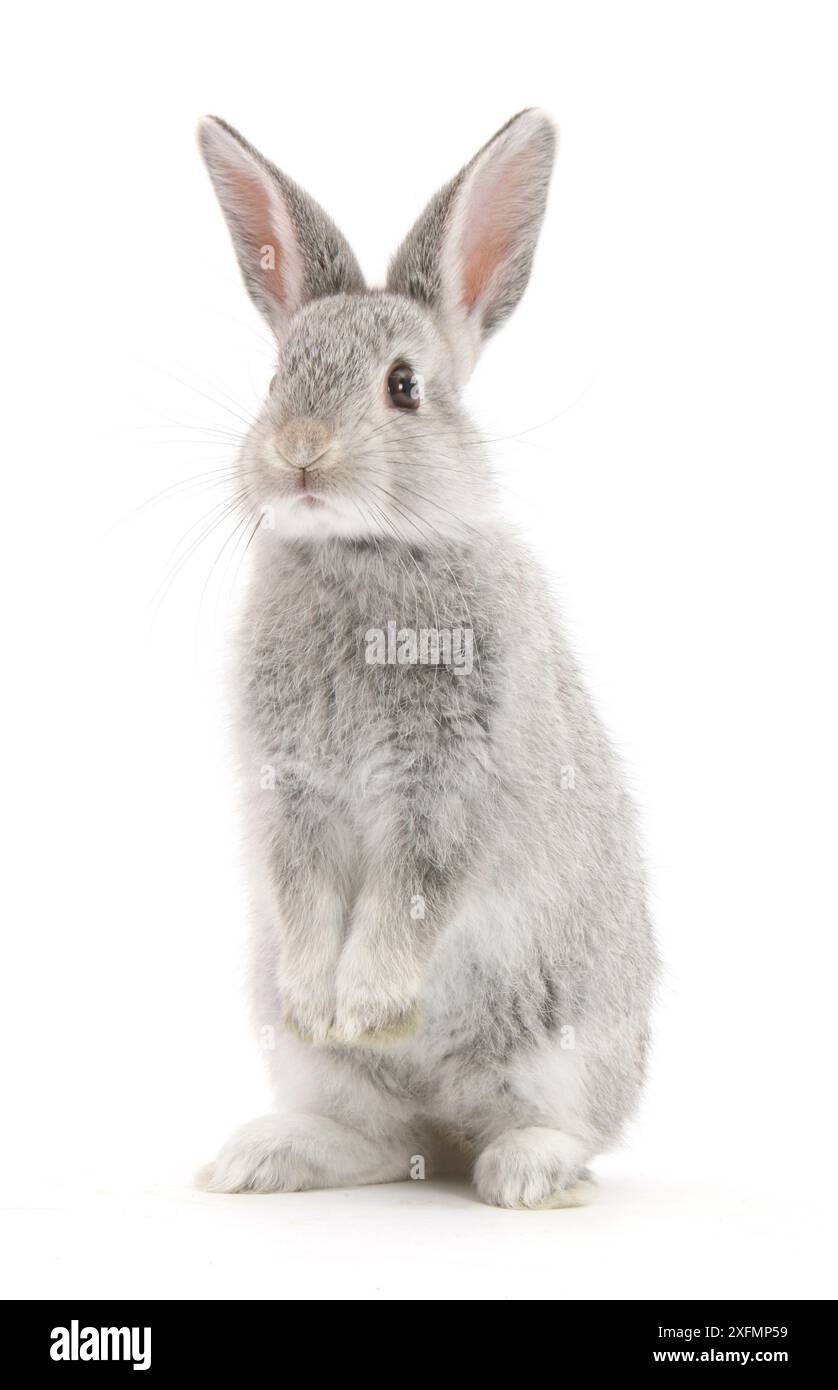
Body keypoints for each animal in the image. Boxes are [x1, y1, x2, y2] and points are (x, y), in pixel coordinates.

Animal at [196, 110, 658, 1208]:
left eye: (403, 388)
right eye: (276, 379)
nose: (301, 449)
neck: (362, 552)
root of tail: (444, 1135)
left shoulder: (448, 791)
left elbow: (414, 896)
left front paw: (366, 1002)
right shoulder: (290, 798)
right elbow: (306, 897)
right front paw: (326, 1002)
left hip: (559, 1038)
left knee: (553, 1130)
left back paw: (526, 1174)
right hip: (319, 1069)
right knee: (377, 1138)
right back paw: (261, 1155)